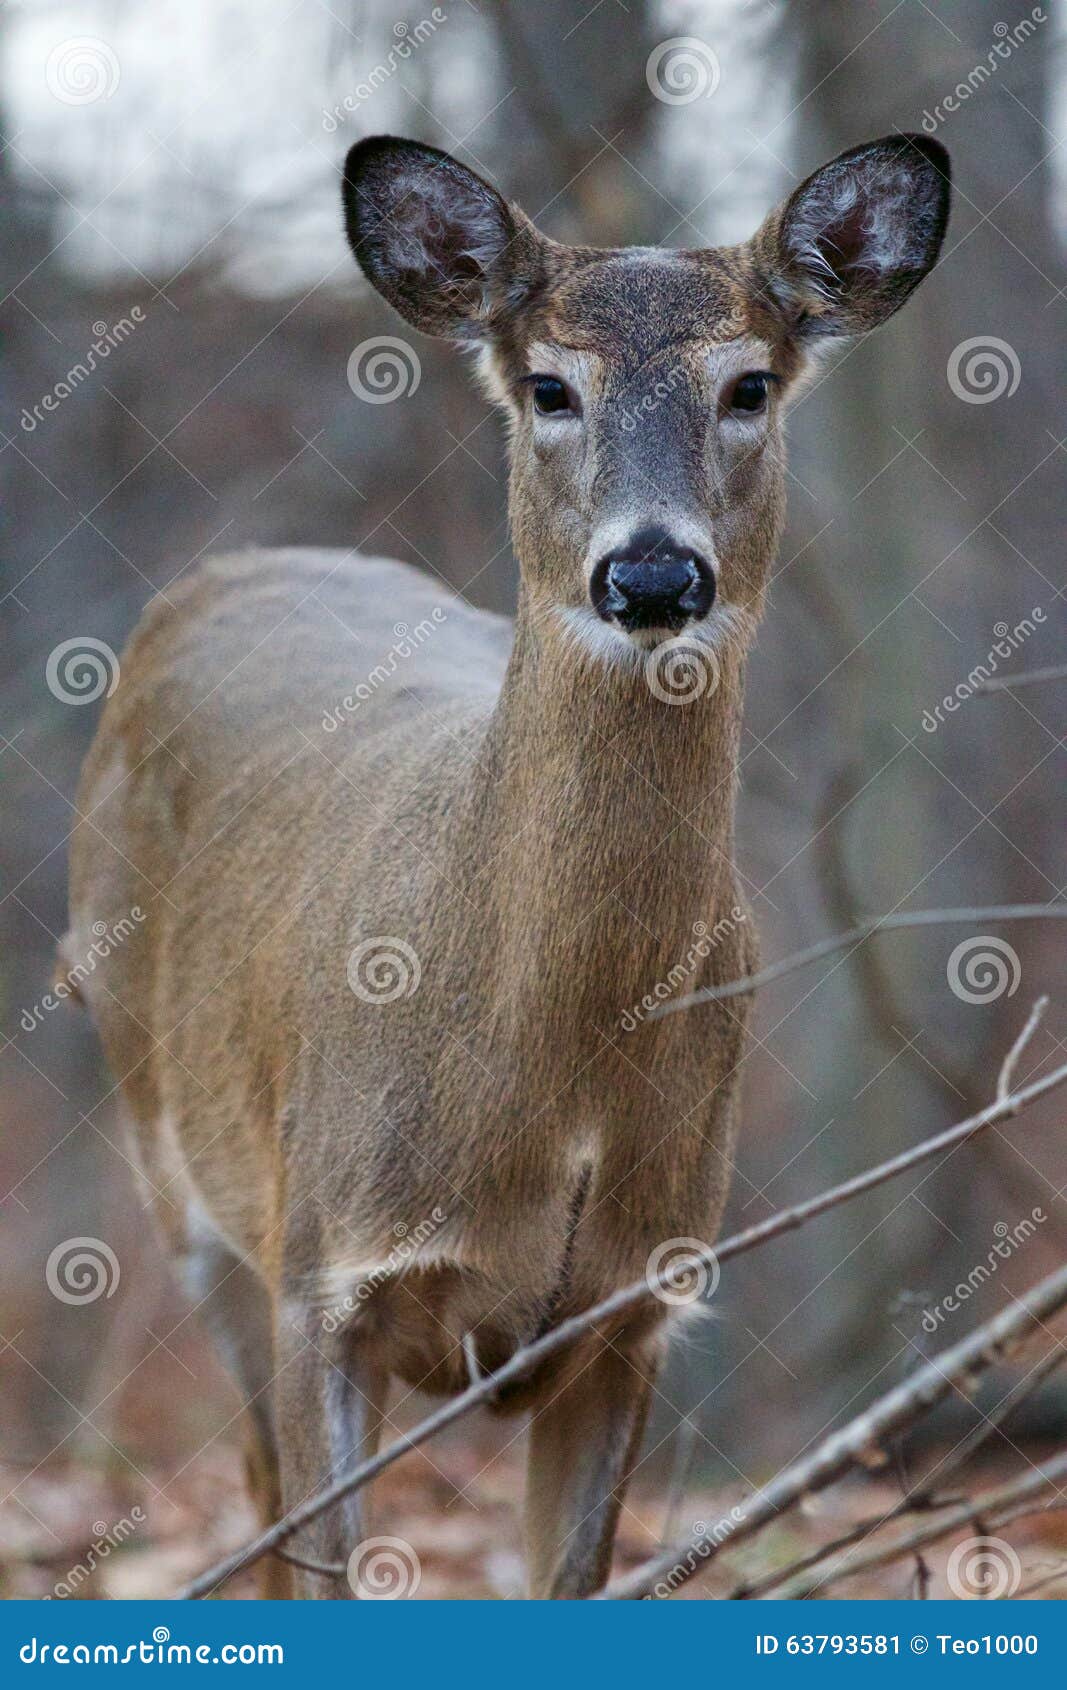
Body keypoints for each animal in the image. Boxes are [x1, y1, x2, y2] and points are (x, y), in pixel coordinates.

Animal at [67, 131, 950, 1599]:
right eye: (548, 385)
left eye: (748, 384)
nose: (650, 574)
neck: (557, 1060)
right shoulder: (323, 1271)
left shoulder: (635, 1303)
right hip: (181, 1168)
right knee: (254, 1499)